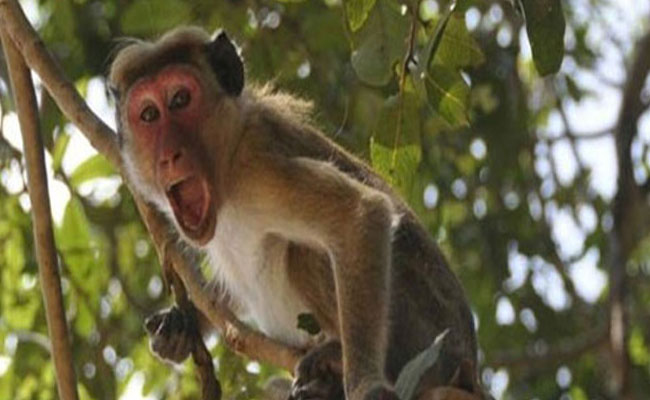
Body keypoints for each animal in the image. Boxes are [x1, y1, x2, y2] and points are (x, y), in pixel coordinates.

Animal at [108, 27, 479, 400]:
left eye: (181, 99)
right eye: (149, 115)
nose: (169, 156)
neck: (225, 167)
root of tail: (468, 366)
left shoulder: (259, 170)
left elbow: (360, 213)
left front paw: (365, 383)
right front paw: (183, 322)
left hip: (425, 342)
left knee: (306, 252)